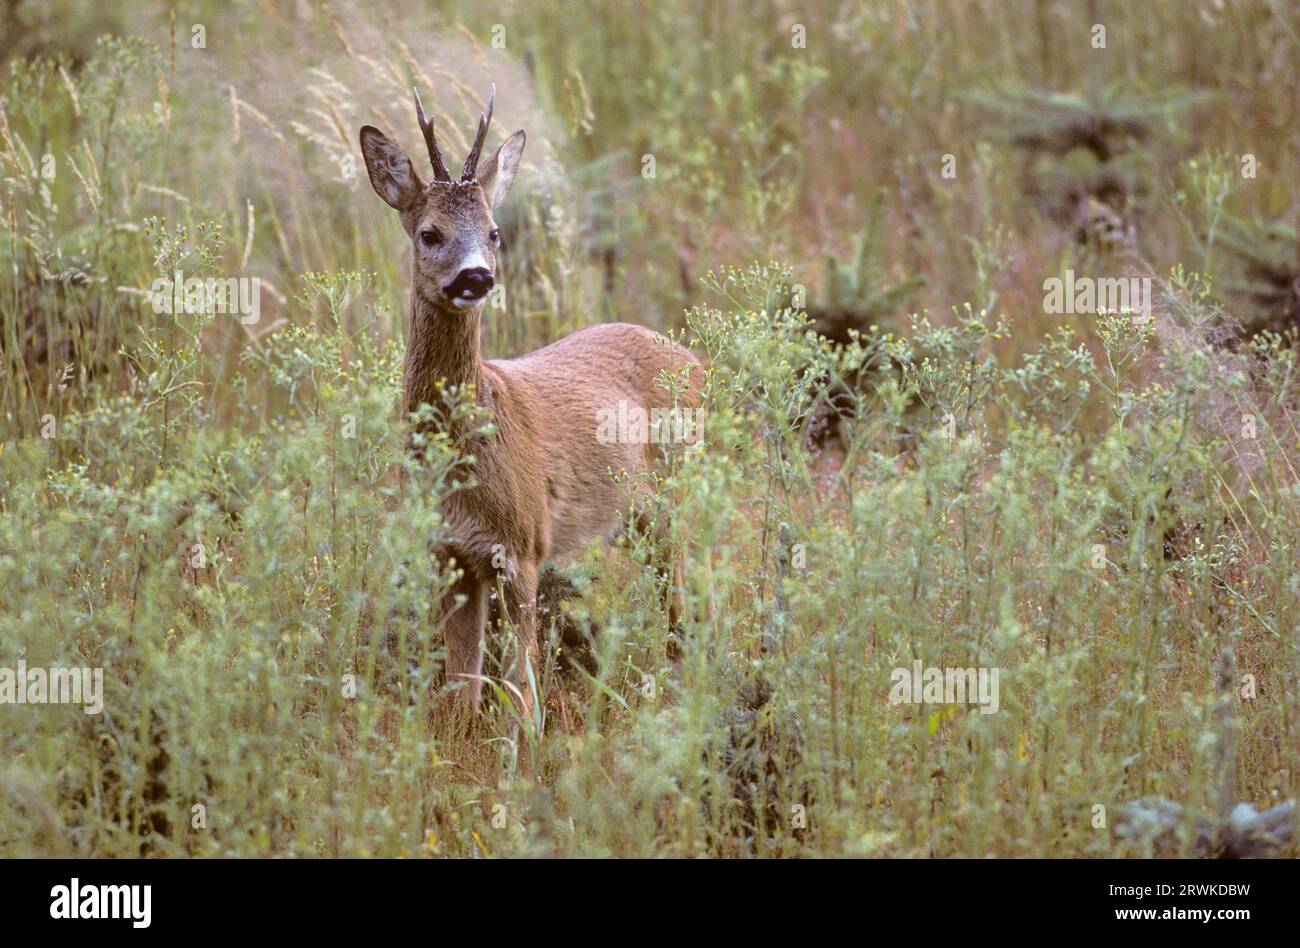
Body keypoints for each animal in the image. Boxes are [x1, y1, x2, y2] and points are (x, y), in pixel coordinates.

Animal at [358, 85, 704, 723]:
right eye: (429, 233)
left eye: (494, 231)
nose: (476, 277)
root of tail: (691, 357)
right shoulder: (449, 554)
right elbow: (461, 686)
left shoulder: (524, 546)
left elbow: (522, 688)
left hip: (675, 495)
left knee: (684, 596)